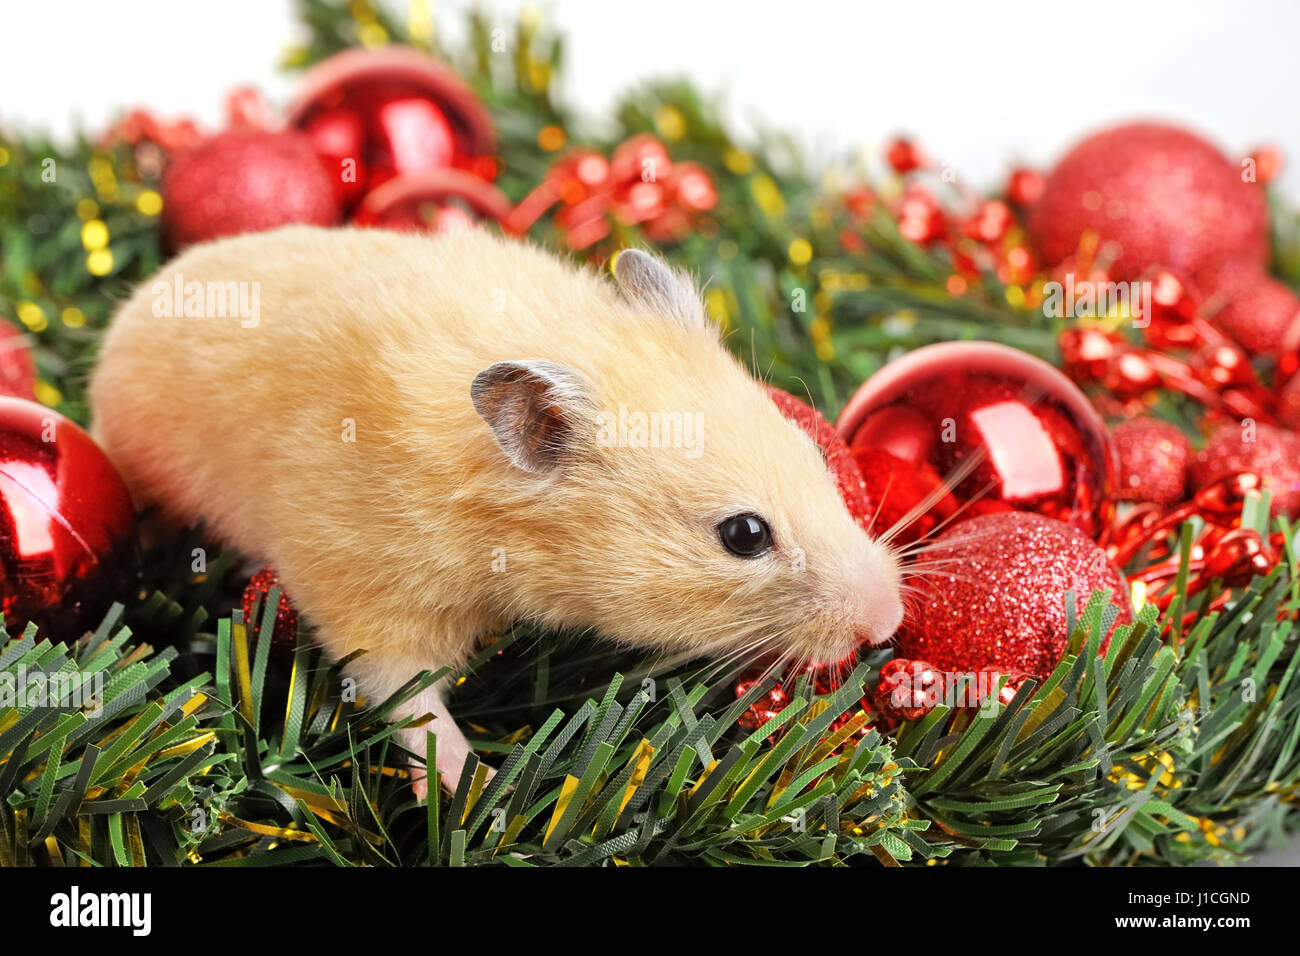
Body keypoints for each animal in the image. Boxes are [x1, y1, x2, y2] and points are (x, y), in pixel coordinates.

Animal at [88, 226, 903, 797]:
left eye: (811, 451)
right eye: (743, 535)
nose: (890, 619)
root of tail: (141, 297)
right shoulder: (367, 594)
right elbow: (409, 700)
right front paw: (478, 791)